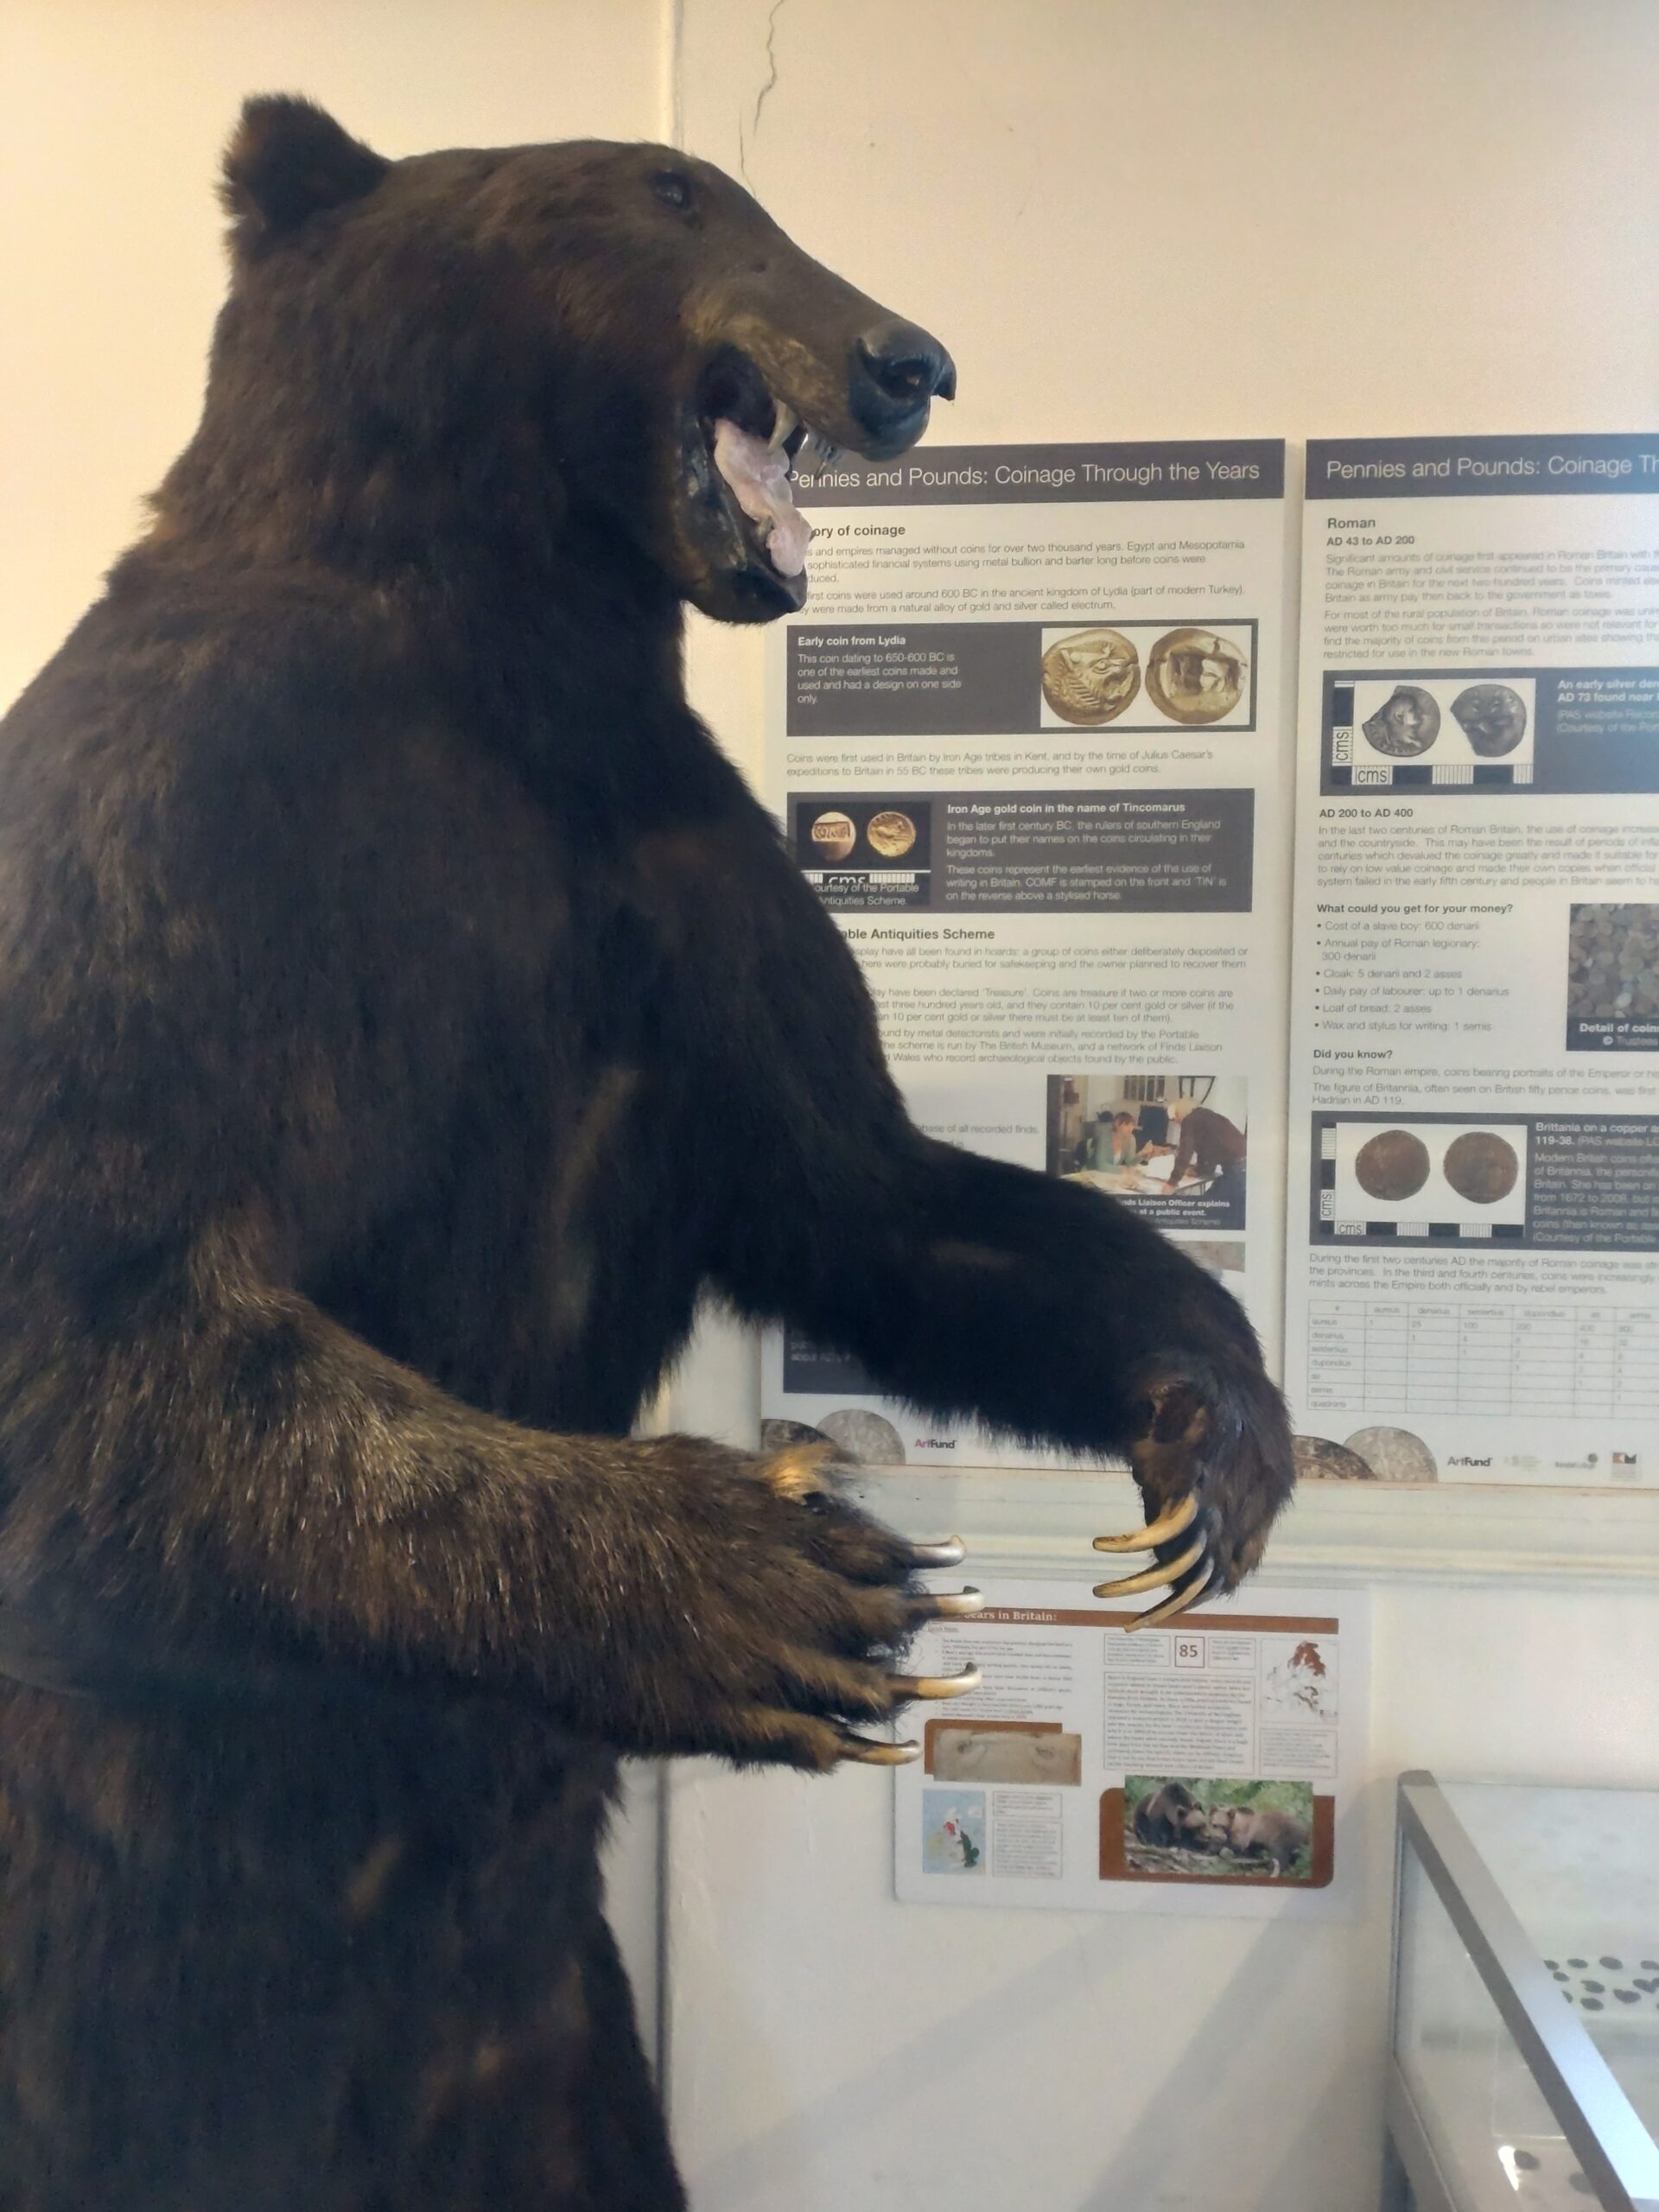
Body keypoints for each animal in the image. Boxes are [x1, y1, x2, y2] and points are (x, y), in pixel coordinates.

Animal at [0, 97, 1294, 2210]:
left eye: (755, 198)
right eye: (672, 192)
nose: (912, 359)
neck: (508, 640)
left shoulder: (677, 880)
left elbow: (875, 1190)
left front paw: (1213, 1437)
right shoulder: (186, 818)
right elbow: (97, 1288)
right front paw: (784, 1572)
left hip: (541, 2021)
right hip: (101, 2002)